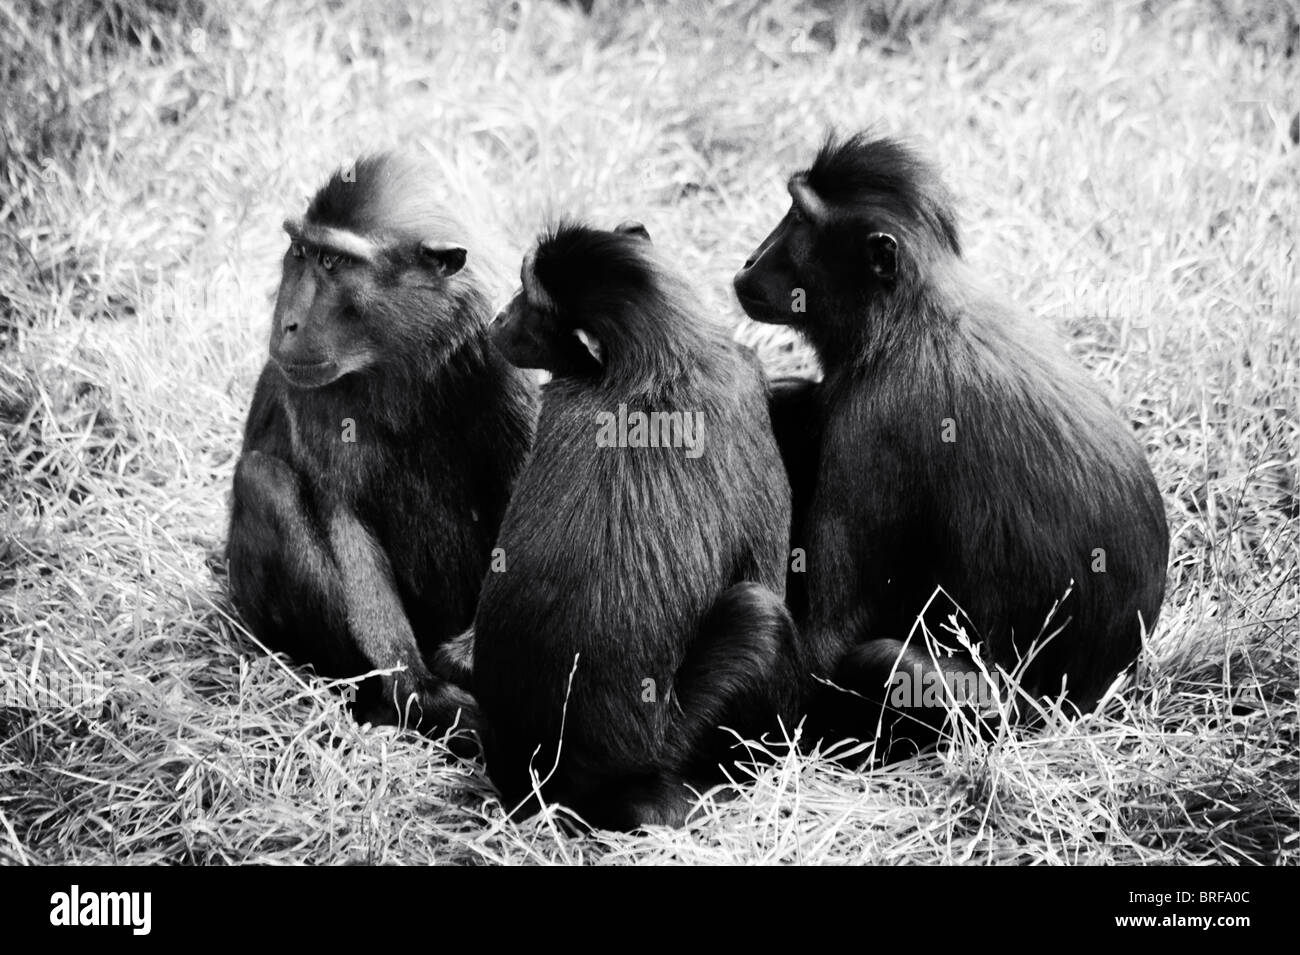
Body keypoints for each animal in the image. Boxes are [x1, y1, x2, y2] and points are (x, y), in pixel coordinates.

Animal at [225, 153, 537, 741]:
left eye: (332, 261)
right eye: (300, 252)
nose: (286, 322)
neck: (398, 360)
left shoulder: (499, 348)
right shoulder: (315, 395)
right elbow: (346, 518)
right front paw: (424, 695)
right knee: (263, 480)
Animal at [470, 220, 802, 830]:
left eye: (528, 298)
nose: (499, 318)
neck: (658, 360)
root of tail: (579, 783)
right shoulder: (744, 384)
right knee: (758, 611)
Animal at [734, 132, 1169, 751]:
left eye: (797, 217)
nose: (750, 261)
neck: (900, 320)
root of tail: (1094, 699)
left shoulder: (874, 428)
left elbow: (825, 648)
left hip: (1003, 715)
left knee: (879, 662)